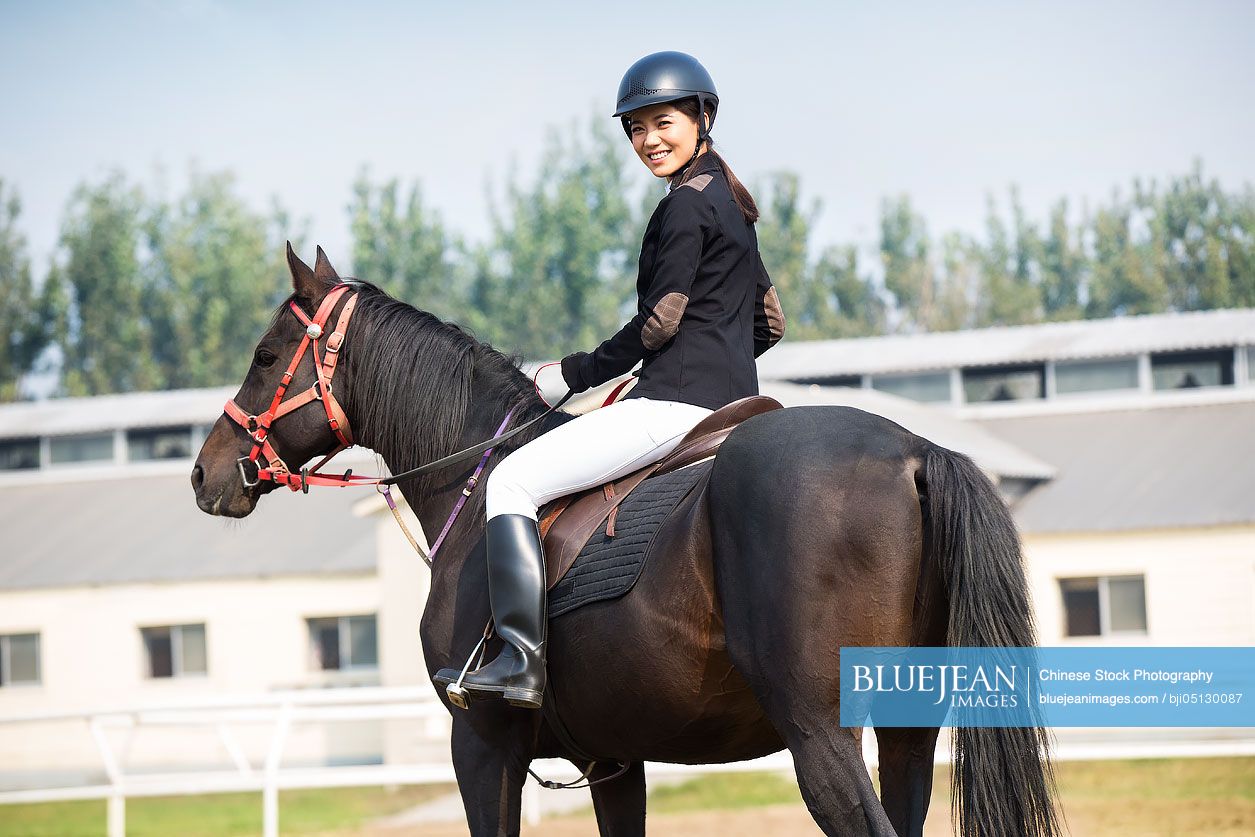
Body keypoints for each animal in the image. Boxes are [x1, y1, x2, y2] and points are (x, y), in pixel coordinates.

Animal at [191, 244, 1061, 837]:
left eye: (265, 356)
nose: (205, 473)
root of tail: (913, 450)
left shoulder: (481, 746)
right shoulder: (614, 761)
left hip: (821, 735)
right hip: (907, 734)